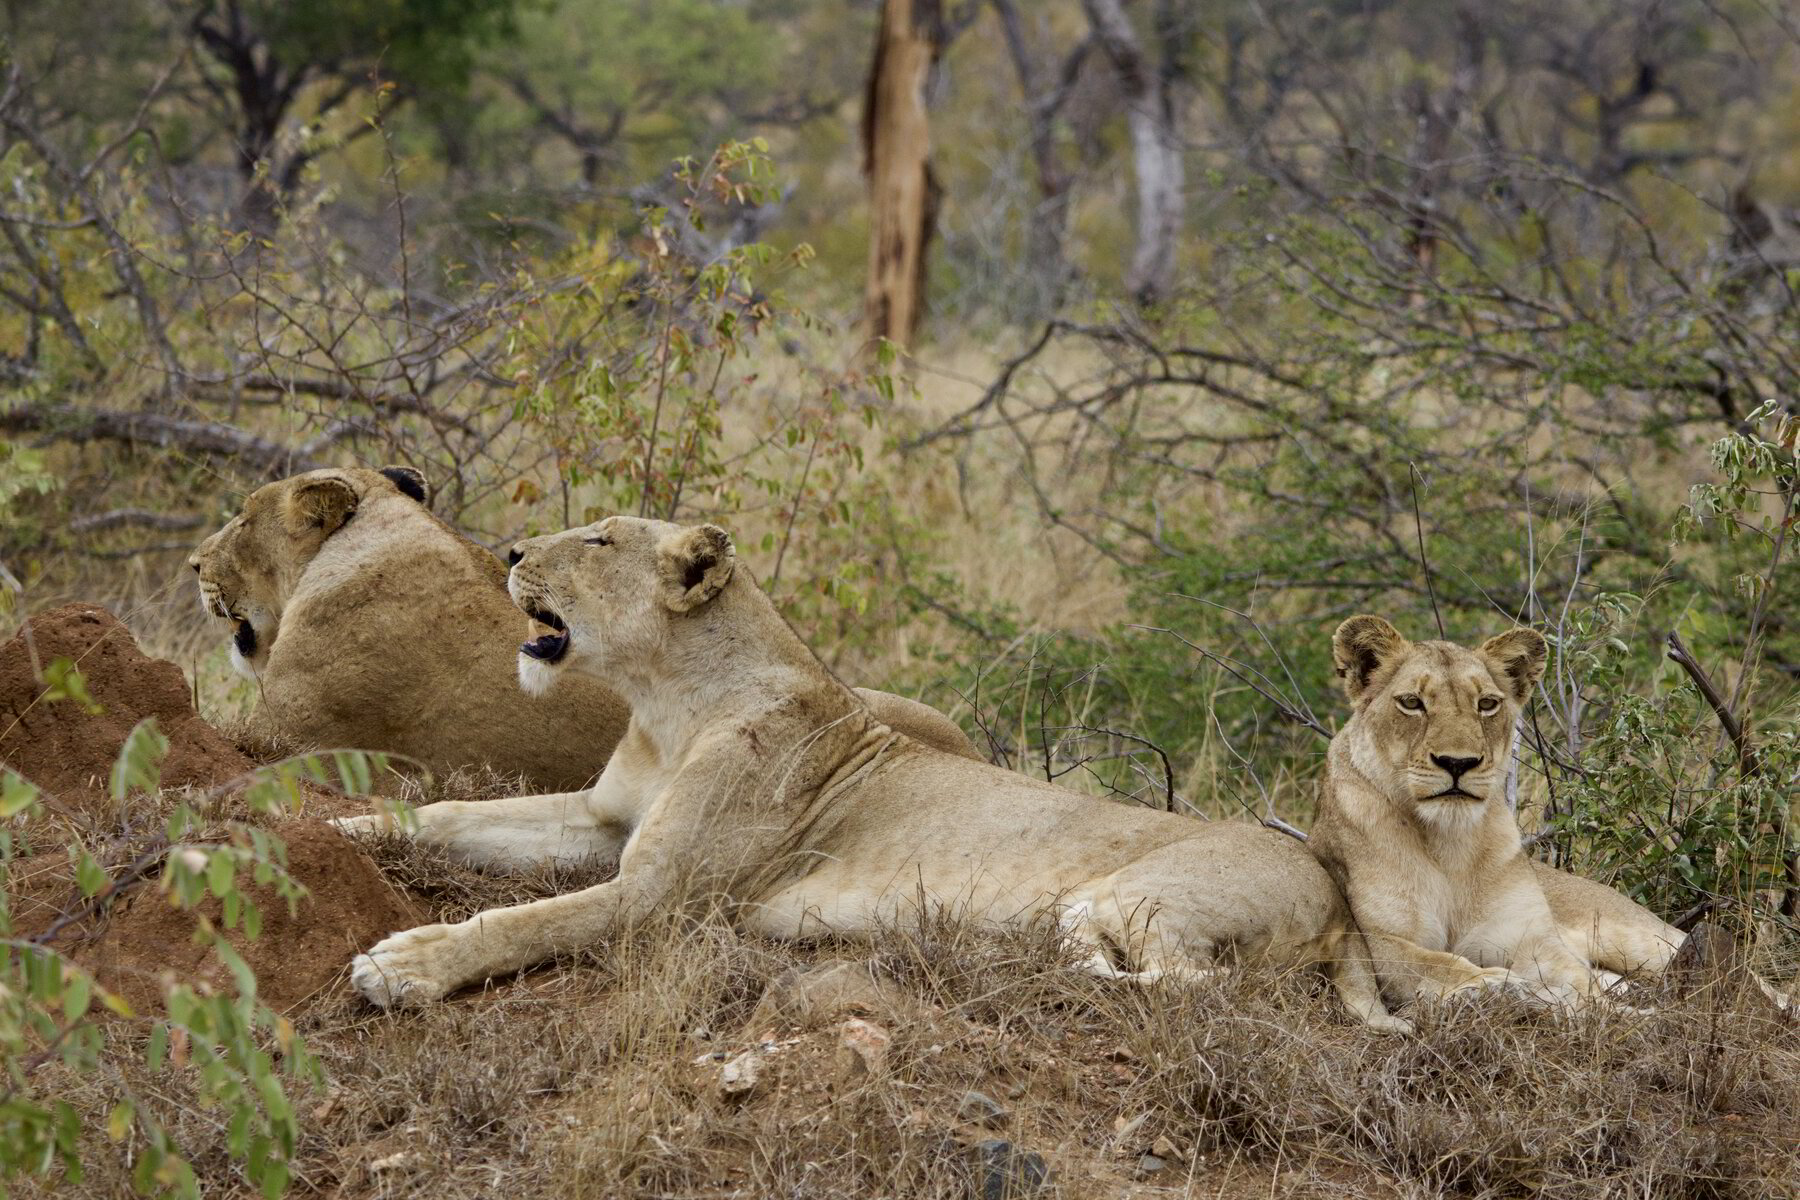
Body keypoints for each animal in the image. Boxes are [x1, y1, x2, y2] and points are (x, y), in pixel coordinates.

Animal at [339, 516, 1413, 1032]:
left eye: (599, 539)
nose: (512, 548)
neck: (664, 702)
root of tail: (1337, 891)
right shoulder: (603, 823)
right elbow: (454, 813)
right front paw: (350, 827)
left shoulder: (664, 896)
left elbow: (525, 922)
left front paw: (404, 965)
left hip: (1140, 896)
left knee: (1197, 989)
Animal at [1308, 614, 1792, 1012]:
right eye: (1411, 702)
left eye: (1487, 704)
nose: (1458, 763)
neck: (1450, 845)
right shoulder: (1381, 942)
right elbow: (1443, 965)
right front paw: (1500, 985)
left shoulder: (1527, 936)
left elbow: (1575, 978)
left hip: (1641, 938)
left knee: (1762, 982)